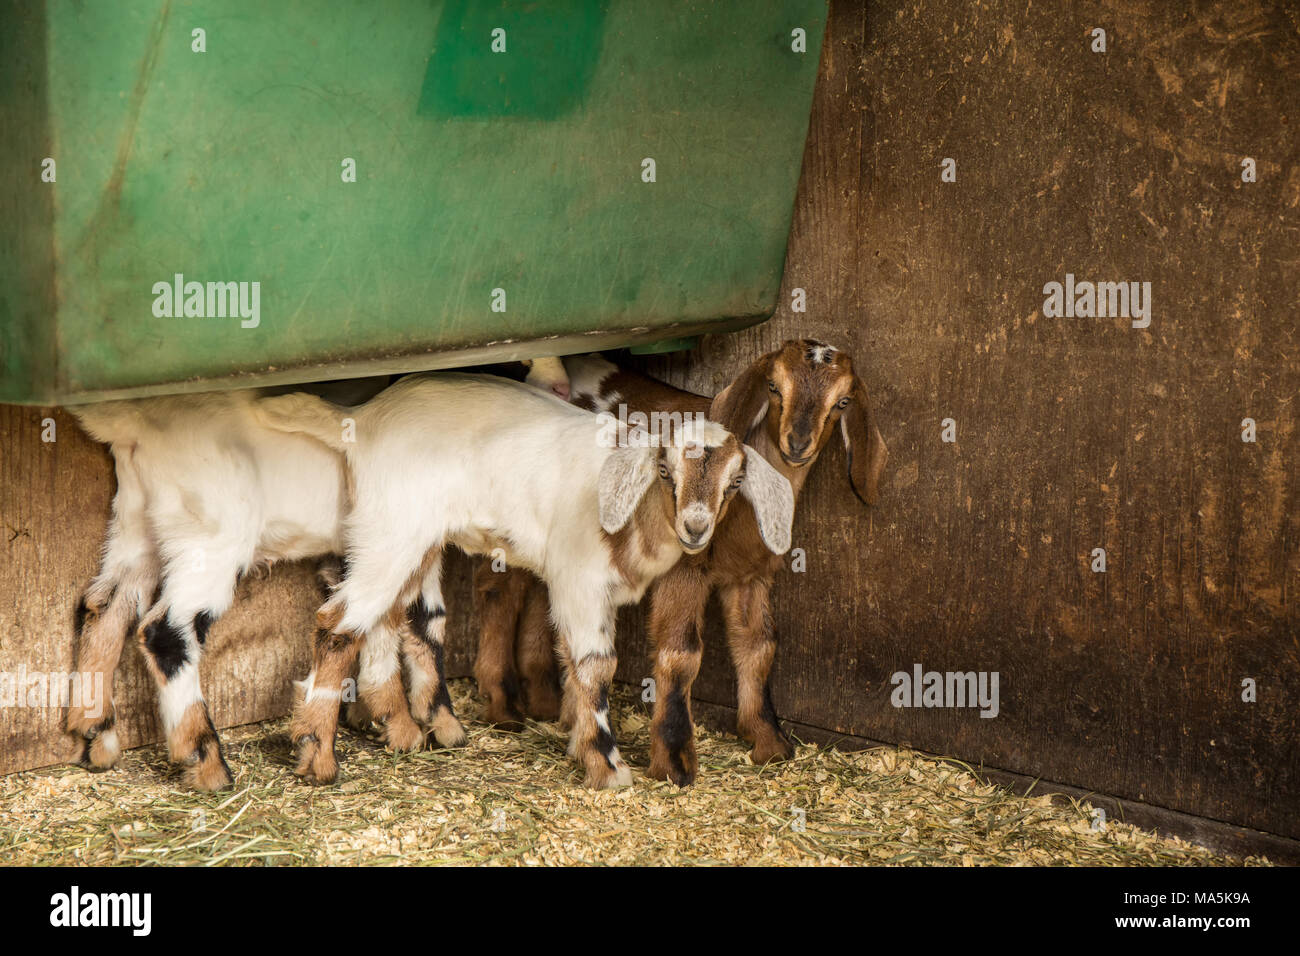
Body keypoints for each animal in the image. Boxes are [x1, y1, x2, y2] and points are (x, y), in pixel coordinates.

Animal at [66, 358, 568, 789]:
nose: (563, 388)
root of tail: (136, 423)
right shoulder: (407, 531)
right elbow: (411, 619)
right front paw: (422, 723)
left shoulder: (378, 546)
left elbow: (410, 618)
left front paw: (400, 720)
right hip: (210, 537)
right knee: (166, 632)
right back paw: (207, 762)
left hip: (137, 525)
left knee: (106, 605)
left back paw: (95, 733)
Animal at [254, 372, 794, 788]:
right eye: (664, 470)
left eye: (736, 482)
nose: (696, 528)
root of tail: (363, 419)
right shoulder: (578, 577)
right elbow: (597, 665)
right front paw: (607, 765)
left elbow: (571, 661)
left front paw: (577, 740)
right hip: (393, 529)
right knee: (337, 623)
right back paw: (319, 756)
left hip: (409, 536)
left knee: (396, 616)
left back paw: (411, 728)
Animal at [474, 340, 888, 785]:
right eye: (774, 386)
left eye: (843, 401)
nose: (797, 443)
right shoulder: (682, 572)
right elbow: (681, 654)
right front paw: (673, 758)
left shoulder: (751, 575)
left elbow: (760, 645)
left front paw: (768, 740)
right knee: (498, 589)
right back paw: (502, 706)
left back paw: (547, 702)